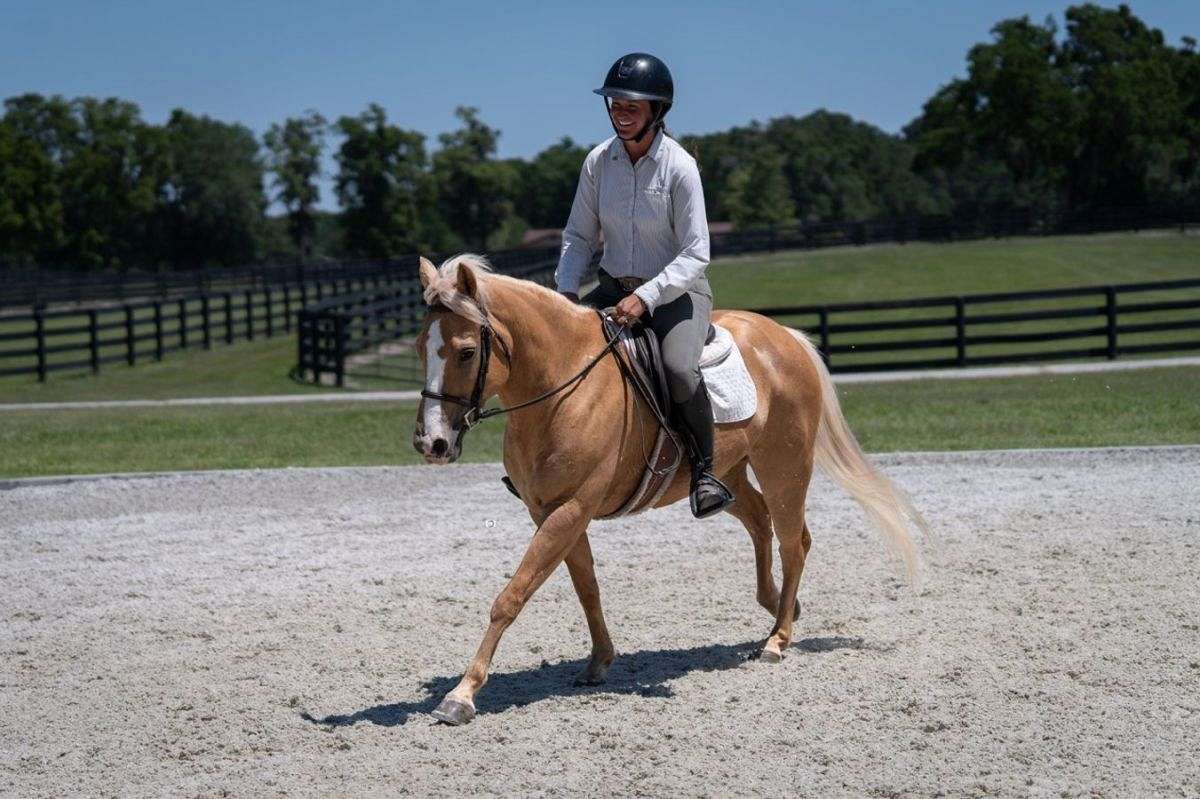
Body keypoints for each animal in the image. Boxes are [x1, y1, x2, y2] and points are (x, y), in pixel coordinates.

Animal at [412, 253, 928, 725]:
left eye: (465, 351)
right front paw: (599, 660)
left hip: (785, 467)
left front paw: (462, 694)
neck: (563, 389)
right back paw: (781, 605)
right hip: (730, 474)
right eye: (420, 348)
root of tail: (786, 337)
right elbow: (586, 586)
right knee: (760, 523)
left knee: (793, 542)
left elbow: (511, 596)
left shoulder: (571, 509)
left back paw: (777, 639)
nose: (430, 443)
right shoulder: (549, 512)